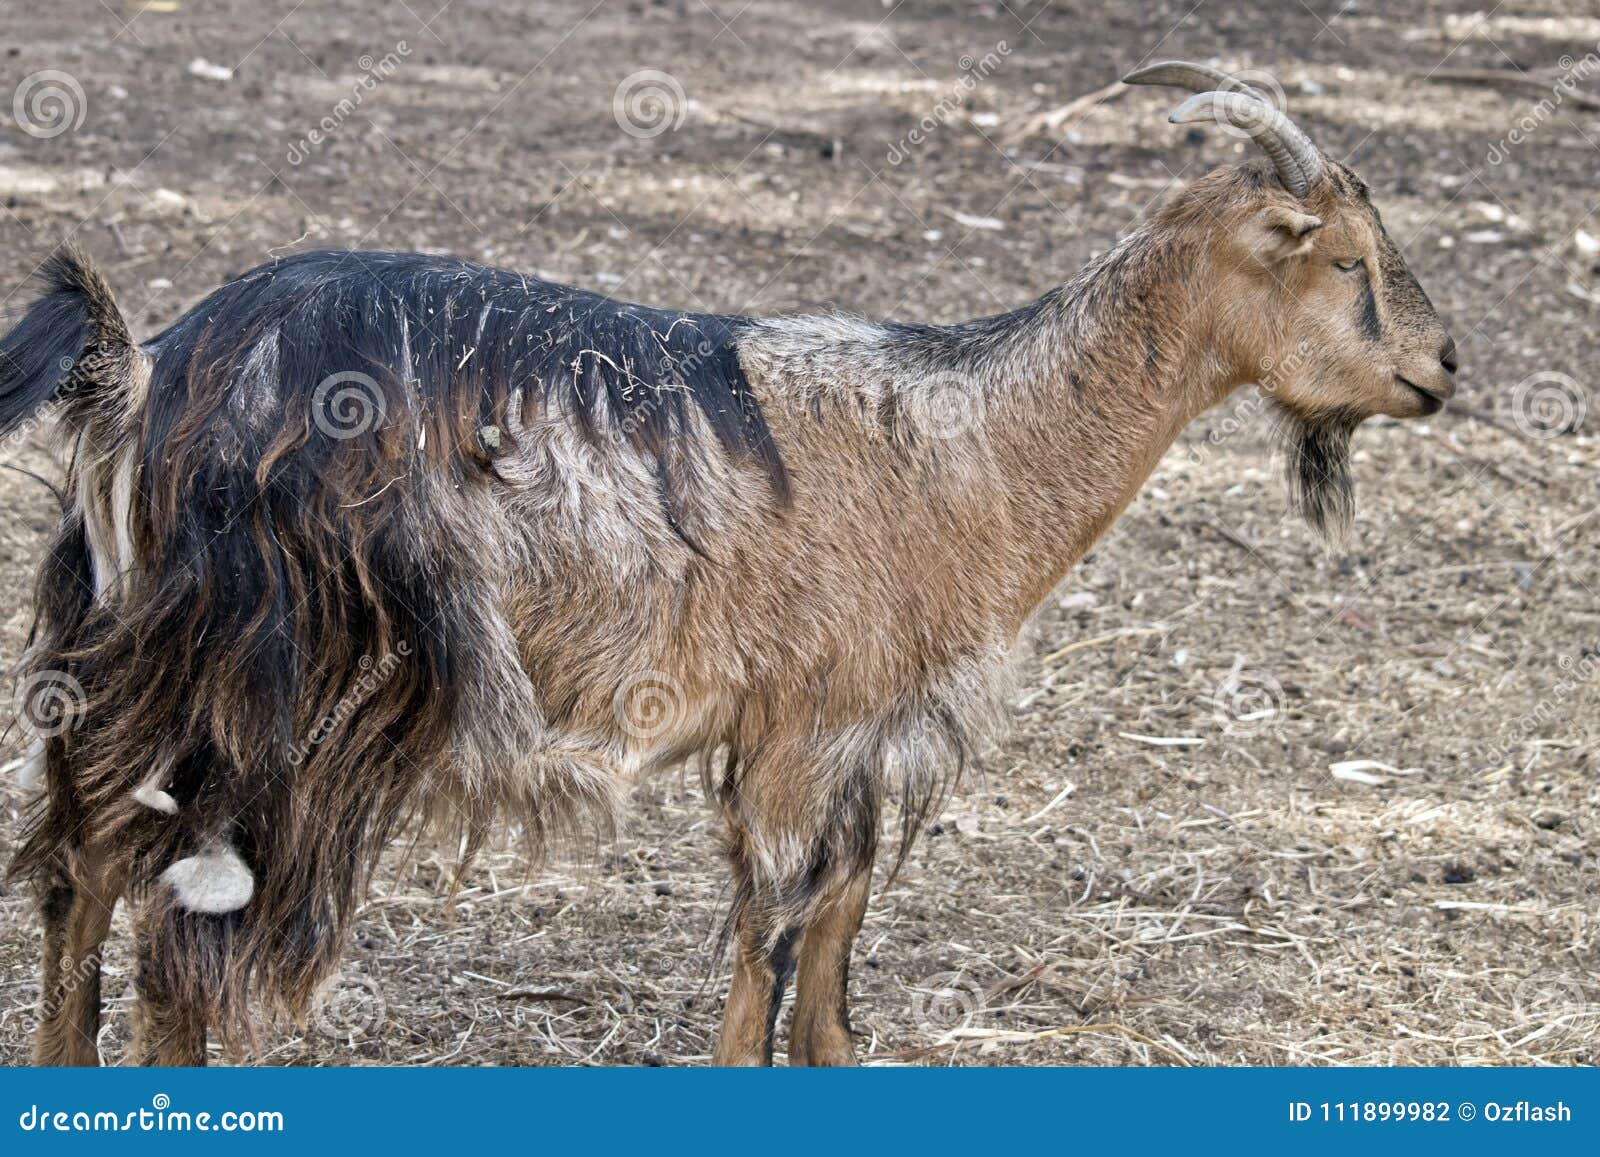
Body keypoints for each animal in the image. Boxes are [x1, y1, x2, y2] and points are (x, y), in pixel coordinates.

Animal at [2, 61, 1455, 1066]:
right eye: (1342, 258)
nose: (1444, 368)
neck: (969, 445)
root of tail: (141, 377)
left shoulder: (861, 728)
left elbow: (836, 921)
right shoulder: (802, 728)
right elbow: (773, 922)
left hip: (129, 667)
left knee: (82, 870)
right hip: (281, 684)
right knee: (179, 930)